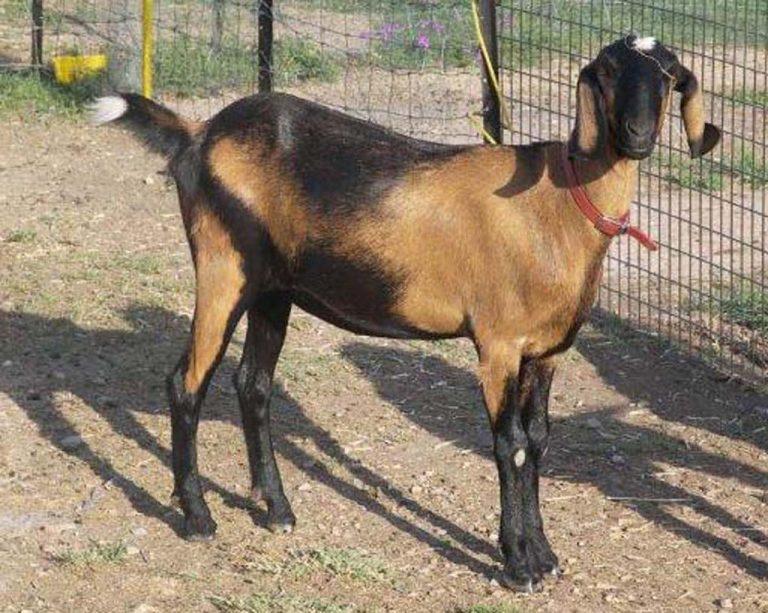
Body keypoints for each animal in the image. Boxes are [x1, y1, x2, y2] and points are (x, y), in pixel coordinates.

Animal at [91, 35, 720, 592]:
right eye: (607, 72)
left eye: (669, 76)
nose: (636, 136)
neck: (557, 201)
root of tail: (198, 133)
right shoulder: (498, 344)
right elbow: (510, 445)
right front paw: (517, 565)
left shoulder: (546, 351)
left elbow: (538, 441)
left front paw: (544, 555)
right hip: (224, 267)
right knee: (186, 382)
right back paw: (197, 517)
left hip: (273, 289)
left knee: (253, 385)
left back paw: (277, 510)